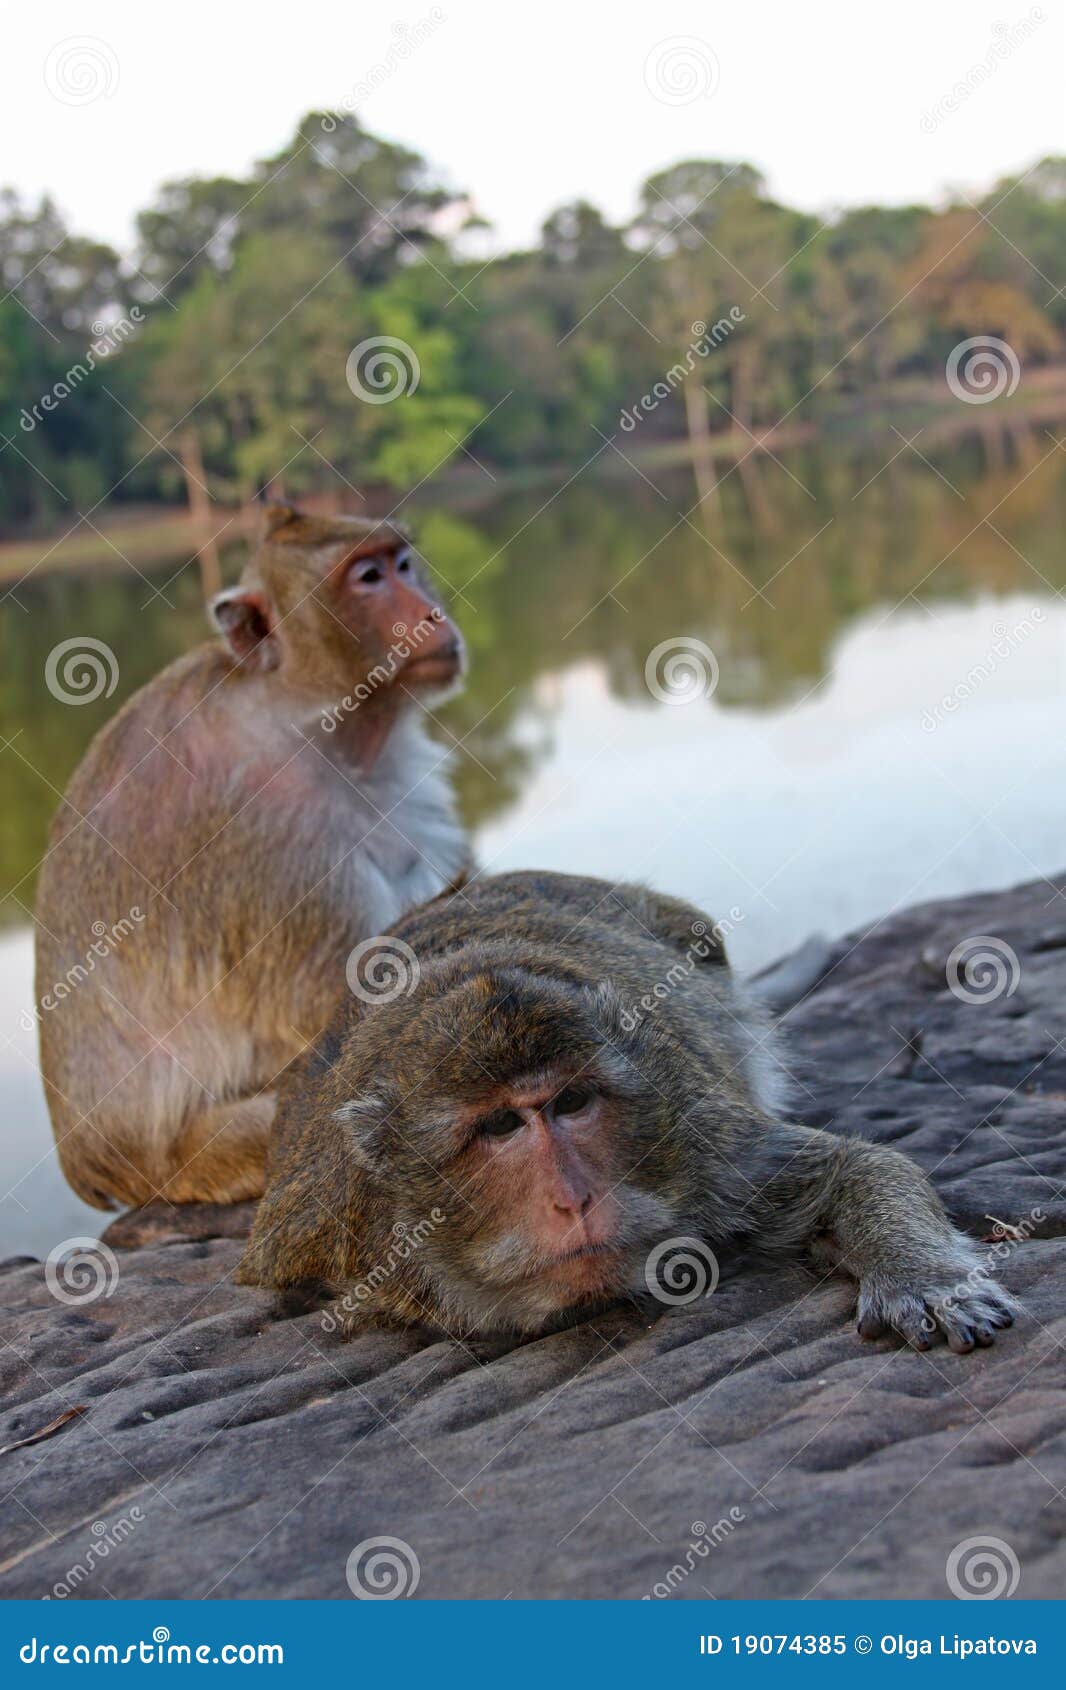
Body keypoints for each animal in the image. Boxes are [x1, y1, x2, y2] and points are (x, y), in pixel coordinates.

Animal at [34, 504, 470, 1215]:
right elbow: (350, 1003)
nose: (433, 612)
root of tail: (95, 1173)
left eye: (404, 565)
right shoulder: (280, 836)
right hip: (196, 1164)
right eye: (368, 577)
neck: (309, 716)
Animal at [237, 871, 1017, 1351]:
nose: (573, 1198)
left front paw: (924, 1281)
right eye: (500, 1126)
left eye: (572, 1102)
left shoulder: (701, 1142)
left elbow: (854, 1165)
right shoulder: (326, 1229)